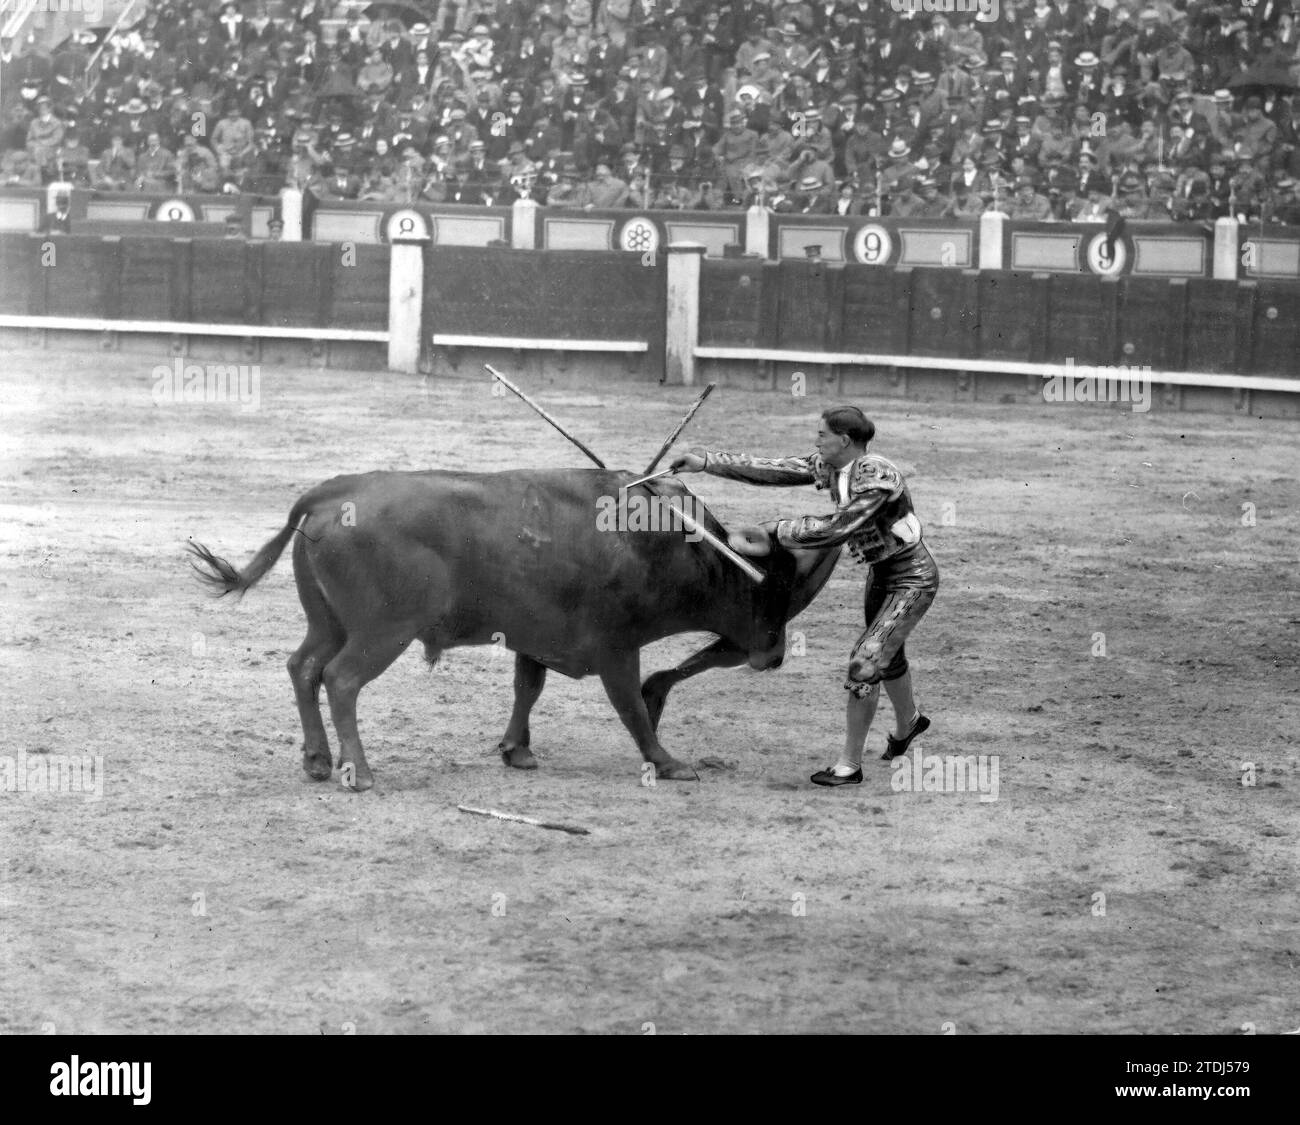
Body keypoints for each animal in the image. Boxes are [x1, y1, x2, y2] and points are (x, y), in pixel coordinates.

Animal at [186, 469, 840, 789]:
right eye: (772, 588)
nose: (774, 655)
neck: (668, 544)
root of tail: (329, 494)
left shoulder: (534, 637)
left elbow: (528, 687)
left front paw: (516, 751)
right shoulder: (617, 646)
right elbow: (631, 705)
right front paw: (668, 762)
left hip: (328, 623)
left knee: (303, 667)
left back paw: (319, 762)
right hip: (381, 632)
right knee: (341, 680)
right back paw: (360, 774)